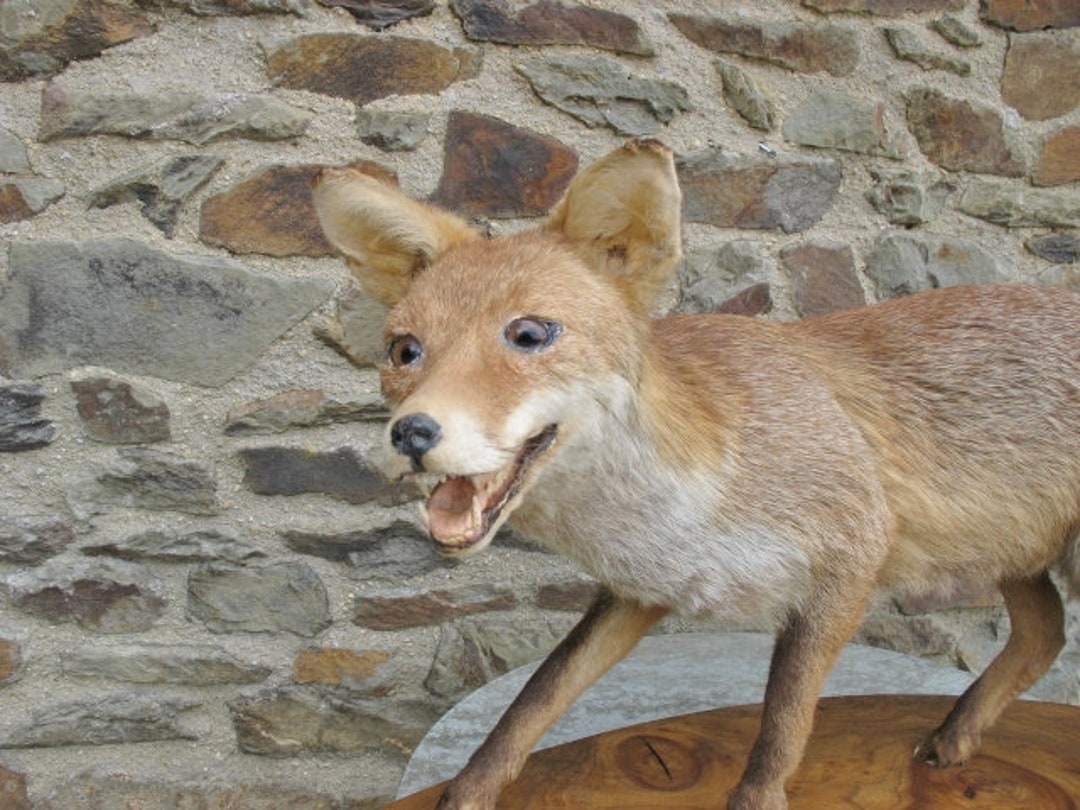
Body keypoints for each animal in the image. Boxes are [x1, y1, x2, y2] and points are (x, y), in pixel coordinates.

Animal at [312, 139, 1080, 810]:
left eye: (528, 335)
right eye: (405, 351)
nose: (411, 432)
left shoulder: (851, 558)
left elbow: (783, 725)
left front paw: (760, 796)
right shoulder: (639, 589)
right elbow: (536, 699)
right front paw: (467, 793)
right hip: (1014, 554)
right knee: (1045, 633)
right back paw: (957, 735)